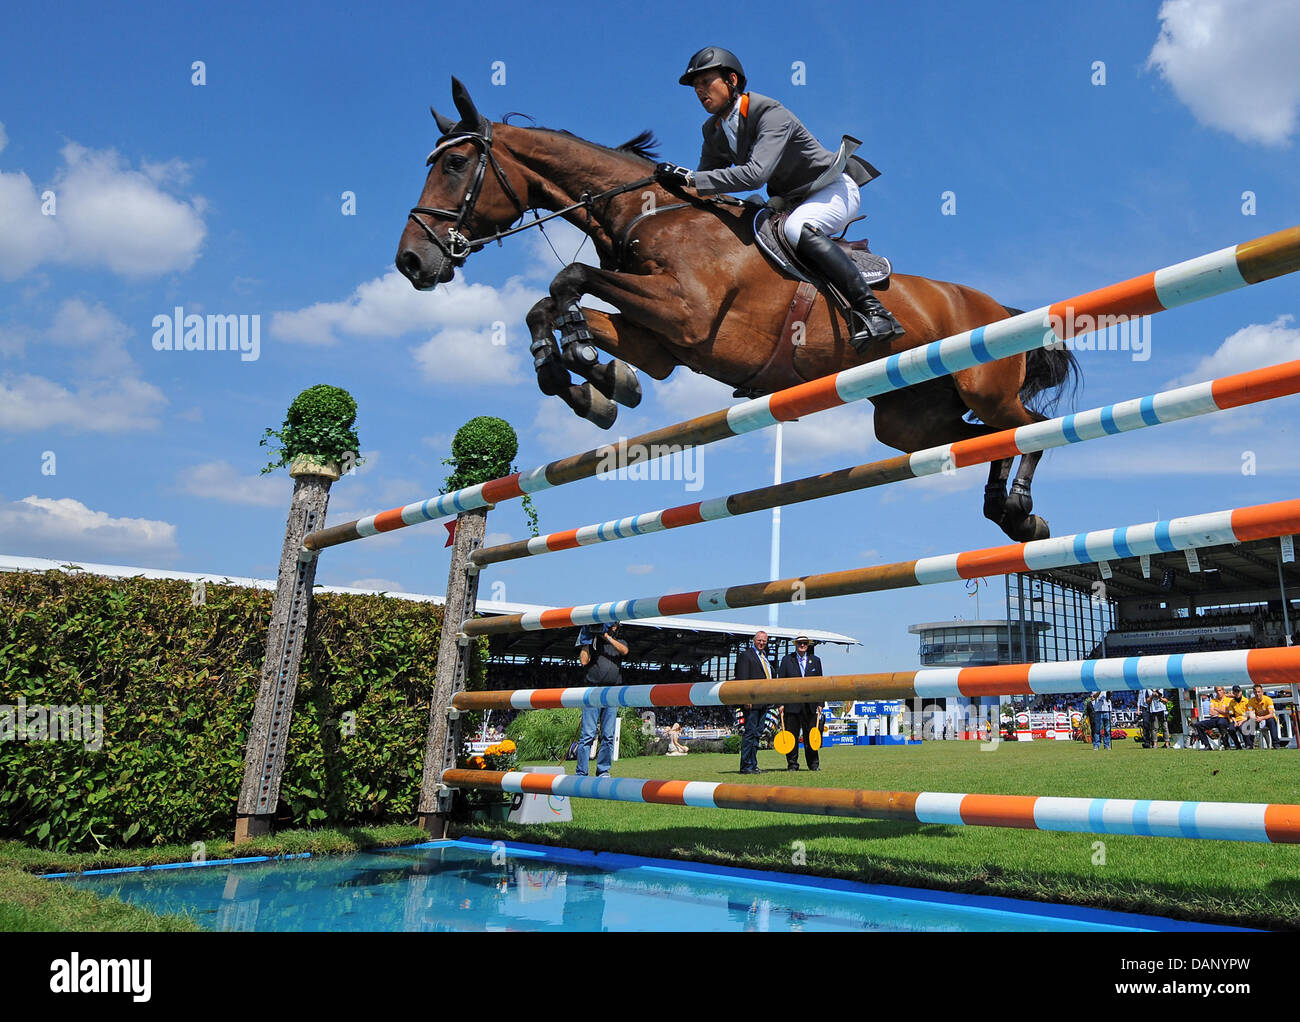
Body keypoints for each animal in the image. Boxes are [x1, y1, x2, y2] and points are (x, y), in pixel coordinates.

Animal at [396, 78, 1080, 542]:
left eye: (455, 163)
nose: (410, 262)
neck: (650, 212)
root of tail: (994, 304)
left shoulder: (687, 314)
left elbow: (569, 277)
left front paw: (588, 368)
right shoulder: (661, 342)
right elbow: (552, 309)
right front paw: (593, 383)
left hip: (982, 387)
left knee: (1028, 426)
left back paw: (1019, 509)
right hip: (907, 419)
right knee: (986, 436)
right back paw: (1010, 515)